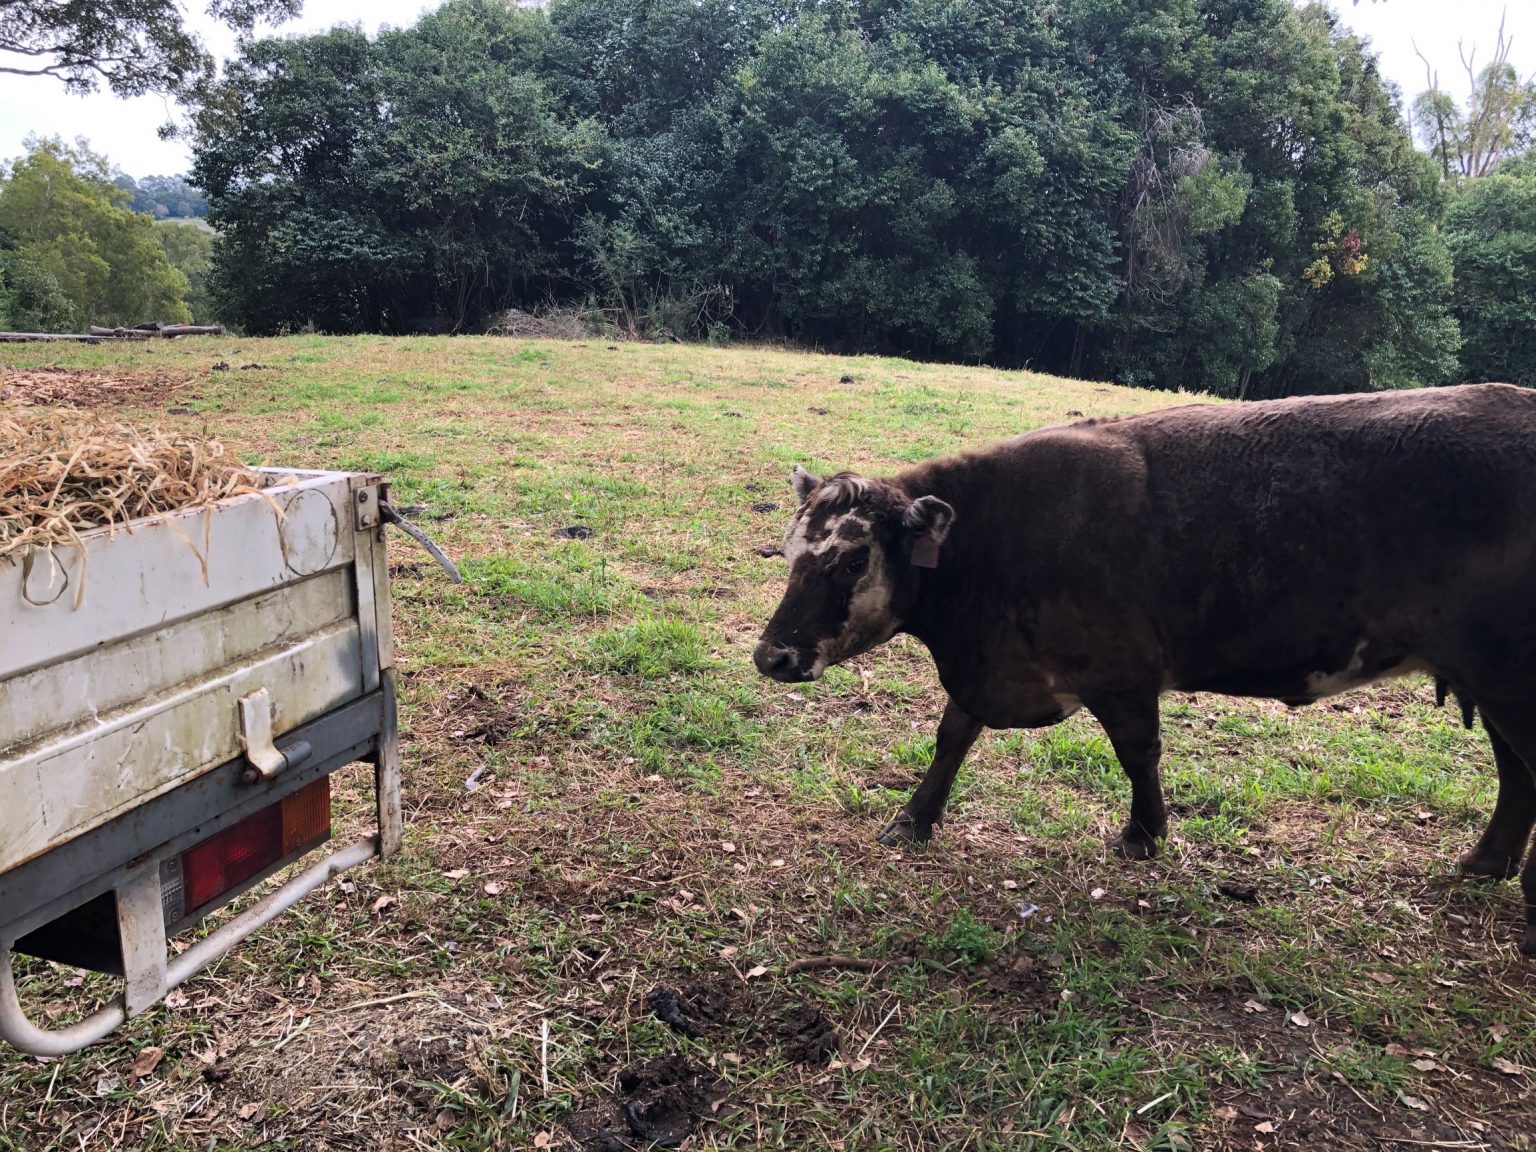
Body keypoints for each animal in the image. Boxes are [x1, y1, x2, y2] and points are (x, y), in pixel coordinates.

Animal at [753, 383, 1536, 955]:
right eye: (787, 552)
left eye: (851, 561)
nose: (772, 655)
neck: (993, 545)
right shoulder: (987, 670)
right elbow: (952, 738)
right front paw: (913, 821)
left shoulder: (1120, 672)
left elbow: (1137, 754)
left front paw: (1145, 835)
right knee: (1516, 771)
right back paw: (1486, 863)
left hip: (1508, 675)